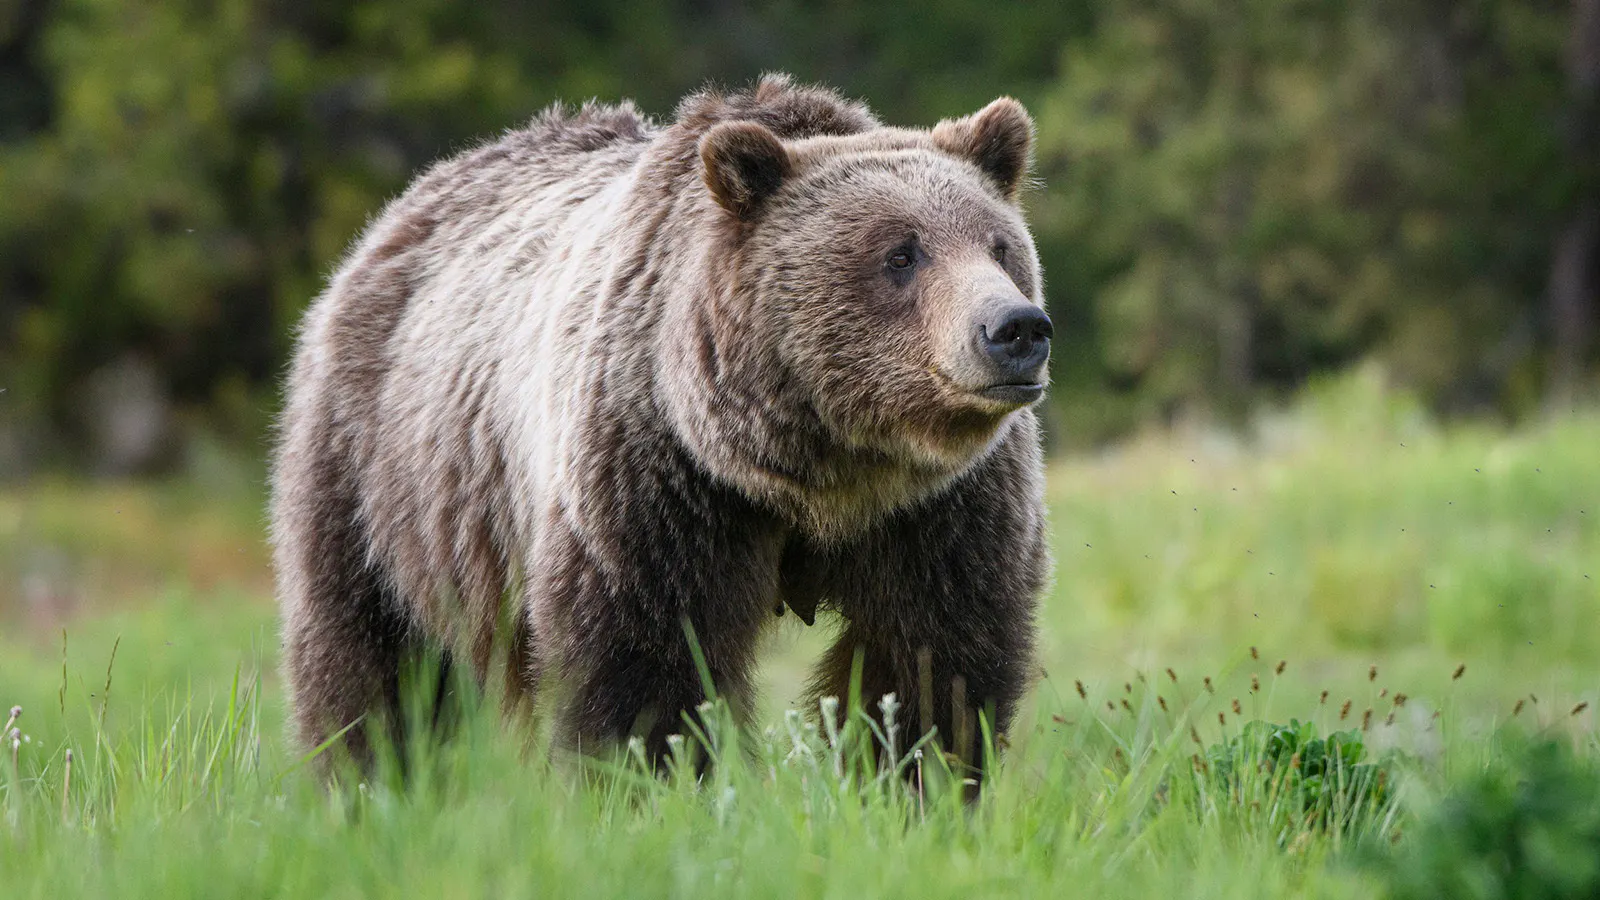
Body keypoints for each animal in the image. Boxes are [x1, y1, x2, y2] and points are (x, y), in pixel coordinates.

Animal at [270, 75, 1051, 778]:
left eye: (999, 246)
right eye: (901, 253)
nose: (1016, 328)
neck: (814, 469)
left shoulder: (938, 510)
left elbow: (933, 658)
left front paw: (910, 781)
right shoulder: (657, 476)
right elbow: (646, 661)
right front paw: (651, 783)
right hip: (378, 474)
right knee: (368, 657)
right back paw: (366, 783)